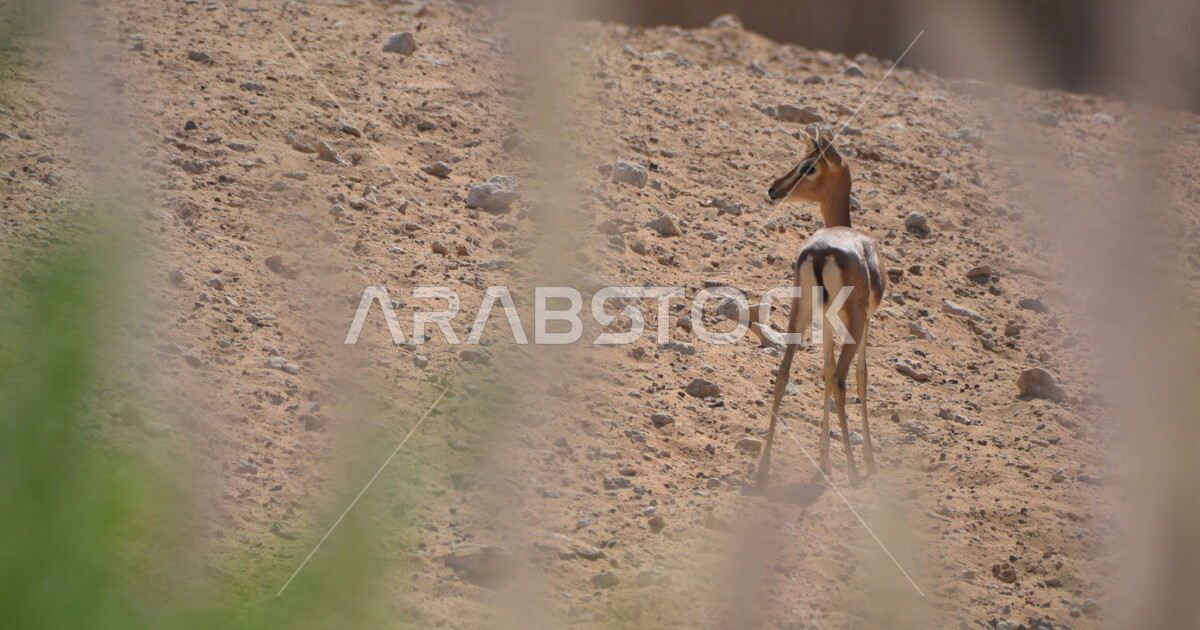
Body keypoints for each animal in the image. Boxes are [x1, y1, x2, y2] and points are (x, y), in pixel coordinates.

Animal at [756, 126, 885, 488]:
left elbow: (824, 370)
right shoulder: (865, 322)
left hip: (799, 313)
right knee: (842, 380)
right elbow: (860, 376)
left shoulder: (825, 320)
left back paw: (764, 467)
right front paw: (868, 460)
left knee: (784, 372)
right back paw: (853, 471)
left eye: (808, 166)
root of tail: (821, 251)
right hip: (851, 321)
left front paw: (824, 457)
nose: (774, 188)